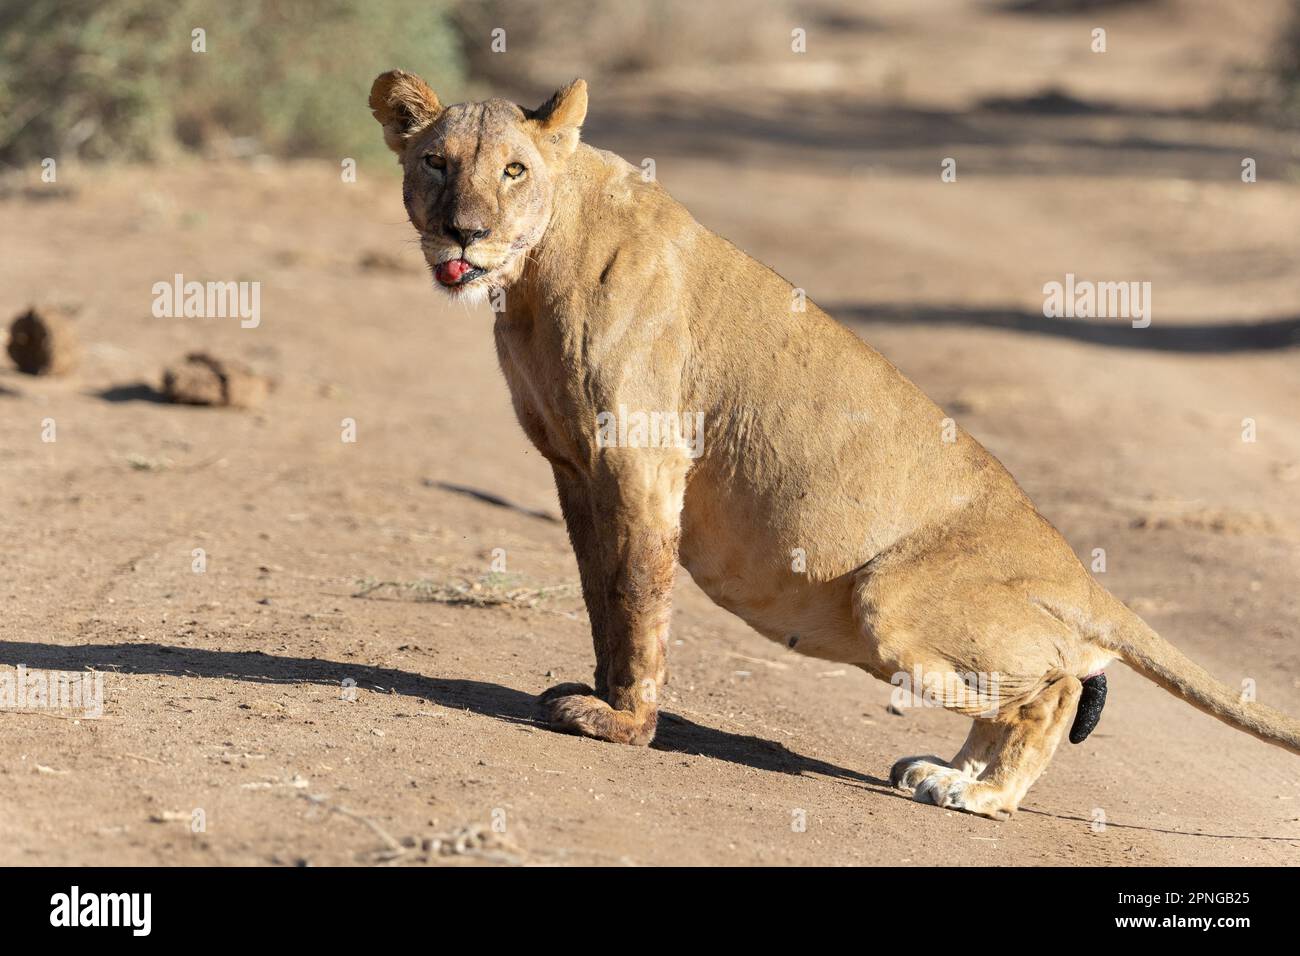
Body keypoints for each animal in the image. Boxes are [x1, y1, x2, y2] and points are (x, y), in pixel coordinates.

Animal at [369, 70, 1300, 819]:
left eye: (513, 170)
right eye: (437, 163)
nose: (464, 233)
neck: (528, 281)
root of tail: (1076, 569)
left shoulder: (642, 459)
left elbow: (637, 600)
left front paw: (623, 723)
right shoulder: (573, 468)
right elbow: (604, 597)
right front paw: (598, 695)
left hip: (890, 601)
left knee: (1060, 685)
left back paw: (984, 794)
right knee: (1032, 688)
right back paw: (946, 774)